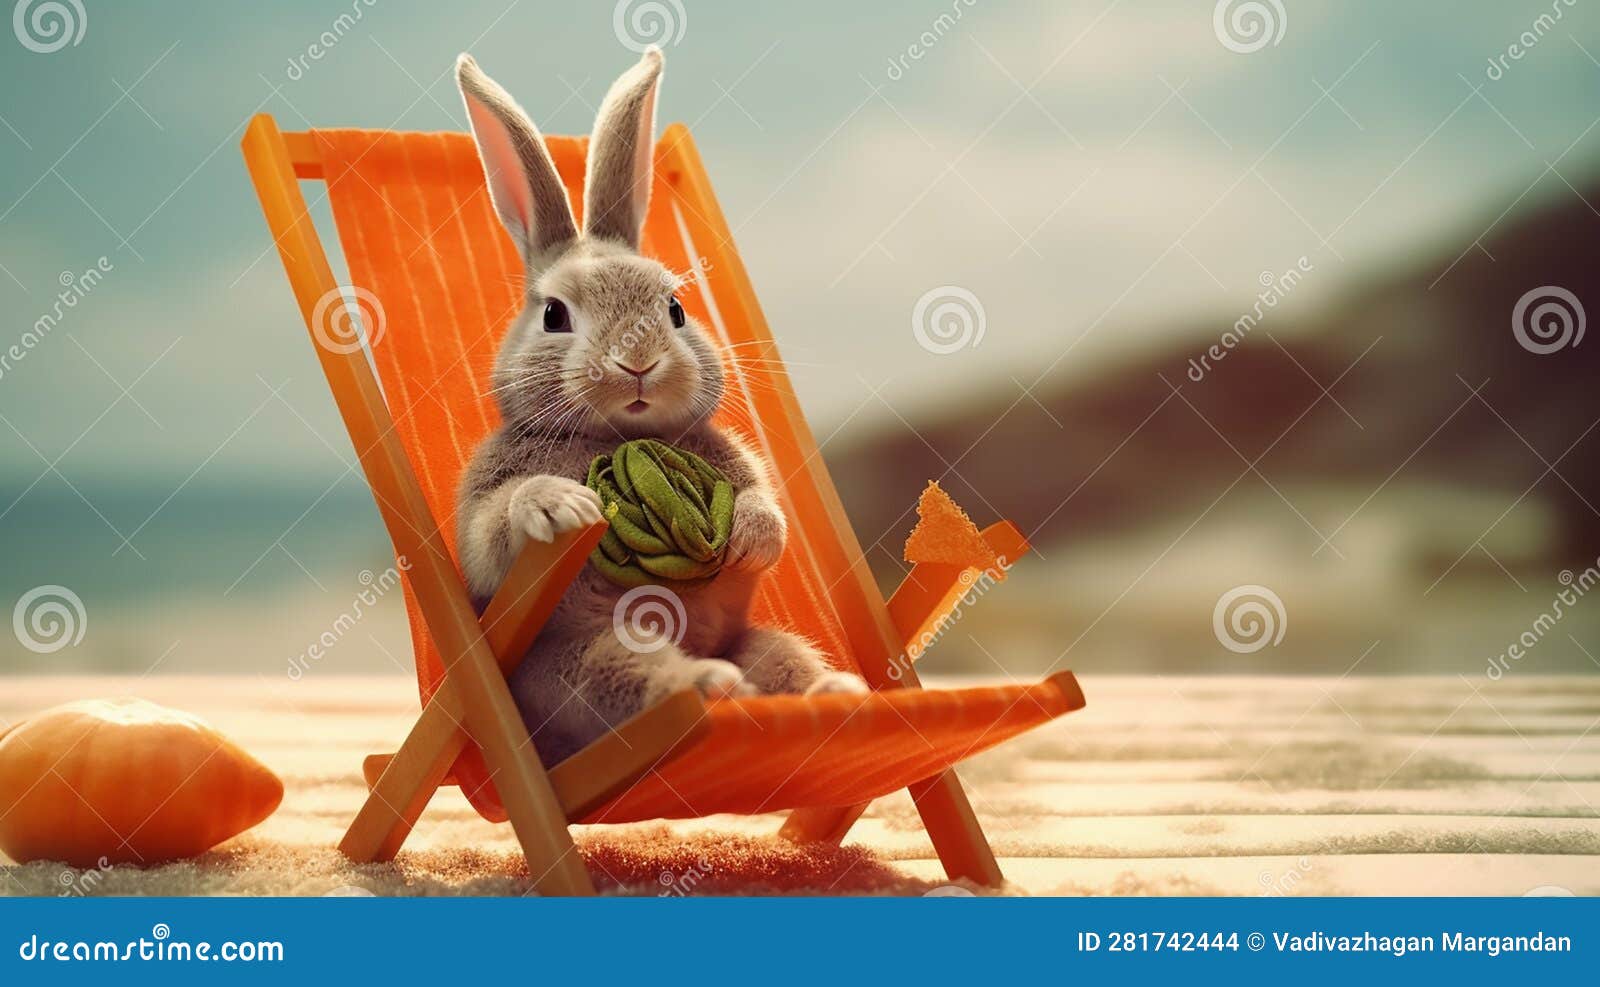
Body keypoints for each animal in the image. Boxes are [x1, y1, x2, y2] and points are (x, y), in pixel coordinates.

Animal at [452, 48, 867, 766]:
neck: (615, 436)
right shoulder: (493, 500)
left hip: (763, 642)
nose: (638, 362)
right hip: (582, 665)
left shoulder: (733, 458)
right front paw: (560, 506)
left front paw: (750, 538)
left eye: (674, 308)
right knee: (637, 675)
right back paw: (707, 683)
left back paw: (833, 689)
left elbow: (761, 499)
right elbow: (492, 531)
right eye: (554, 314)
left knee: (783, 661)